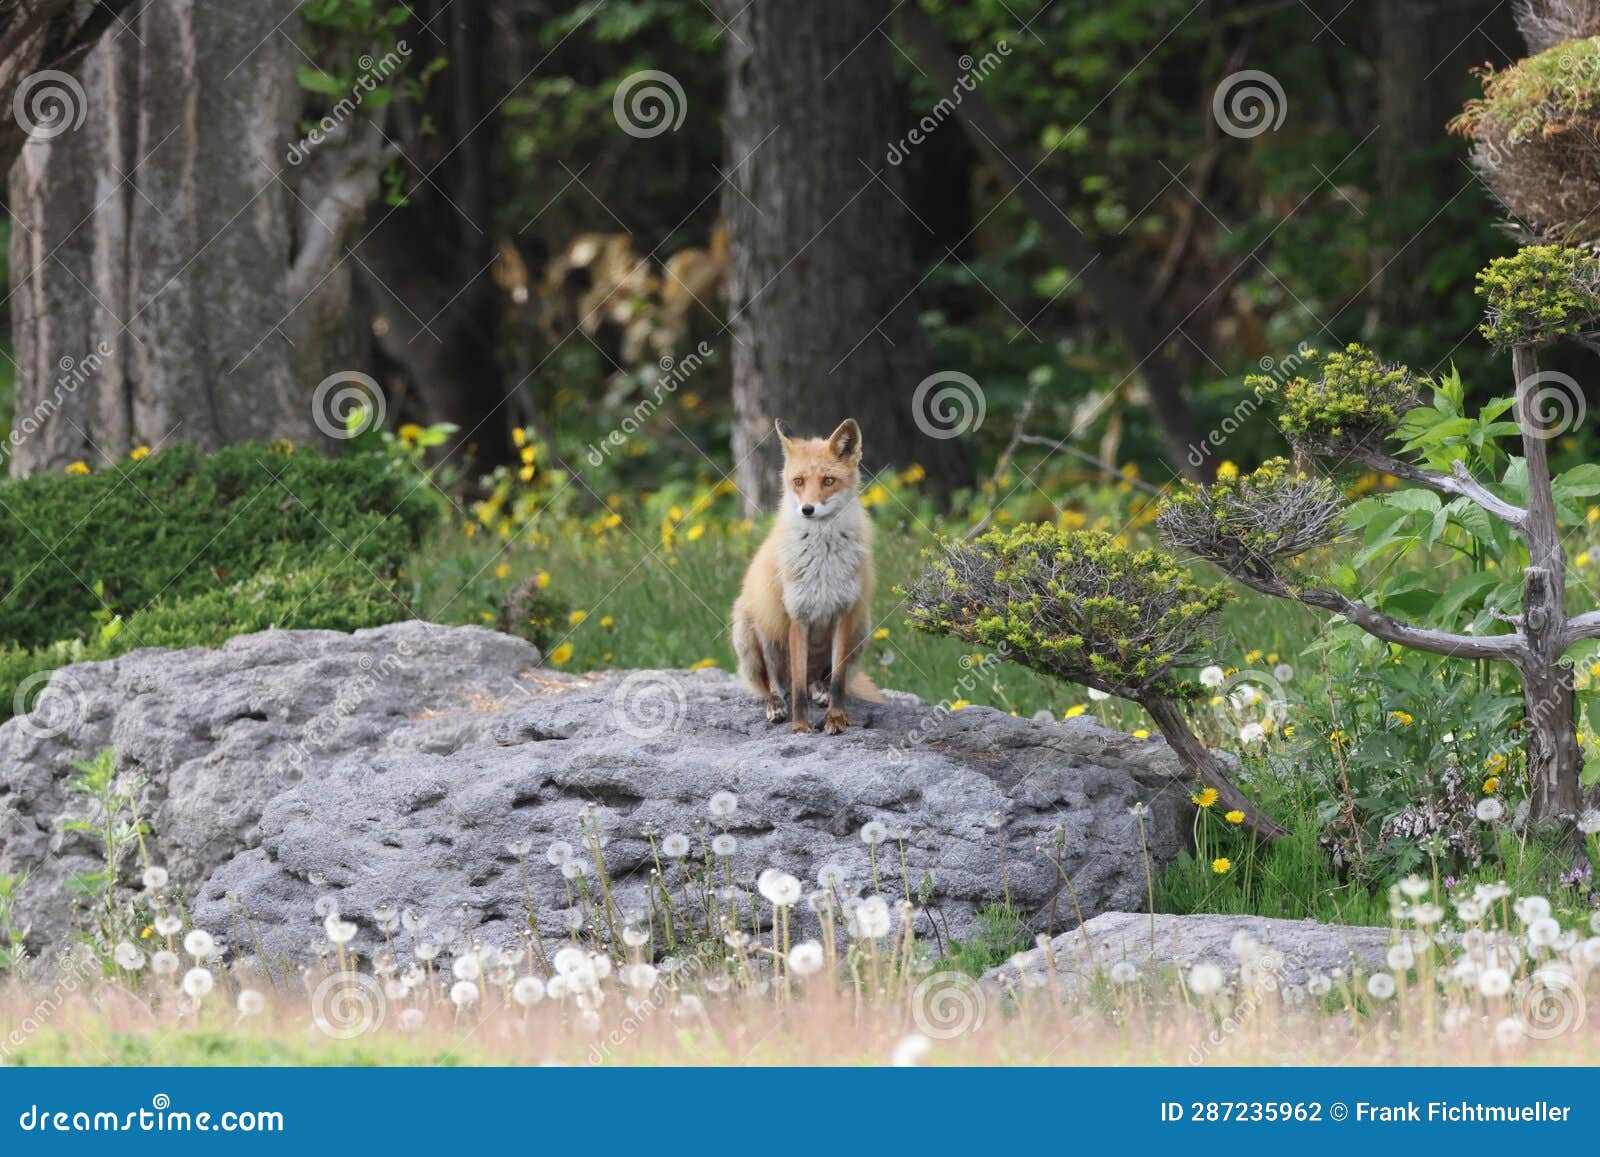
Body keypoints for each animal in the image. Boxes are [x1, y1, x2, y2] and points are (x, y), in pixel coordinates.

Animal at [732, 417, 884, 734]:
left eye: (828, 481)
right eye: (799, 482)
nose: (807, 509)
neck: (822, 559)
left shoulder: (843, 614)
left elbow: (838, 681)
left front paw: (836, 718)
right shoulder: (796, 616)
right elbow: (798, 689)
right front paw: (800, 726)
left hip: (861, 627)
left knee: (820, 679)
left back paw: (821, 691)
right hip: (754, 628)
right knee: (777, 683)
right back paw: (776, 705)